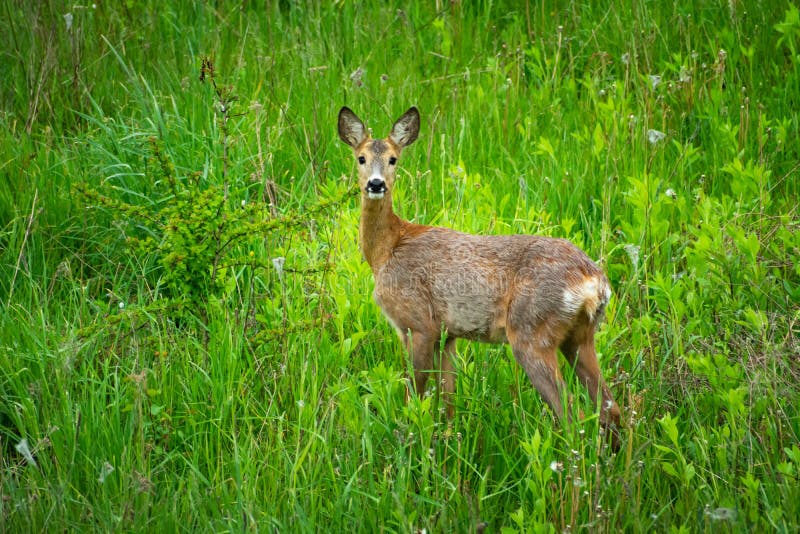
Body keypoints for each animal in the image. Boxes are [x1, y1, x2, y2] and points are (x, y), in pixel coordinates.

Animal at [338, 106, 622, 450]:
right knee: (612, 409)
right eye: (361, 157)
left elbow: (414, 398)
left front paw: (409, 440)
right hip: (581, 336)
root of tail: (595, 282)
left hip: (531, 332)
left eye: (393, 158)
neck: (387, 250)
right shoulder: (447, 335)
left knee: (572, 416)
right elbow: (447, 403)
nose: (376, 184)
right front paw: (447, 443)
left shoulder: (417, 324)